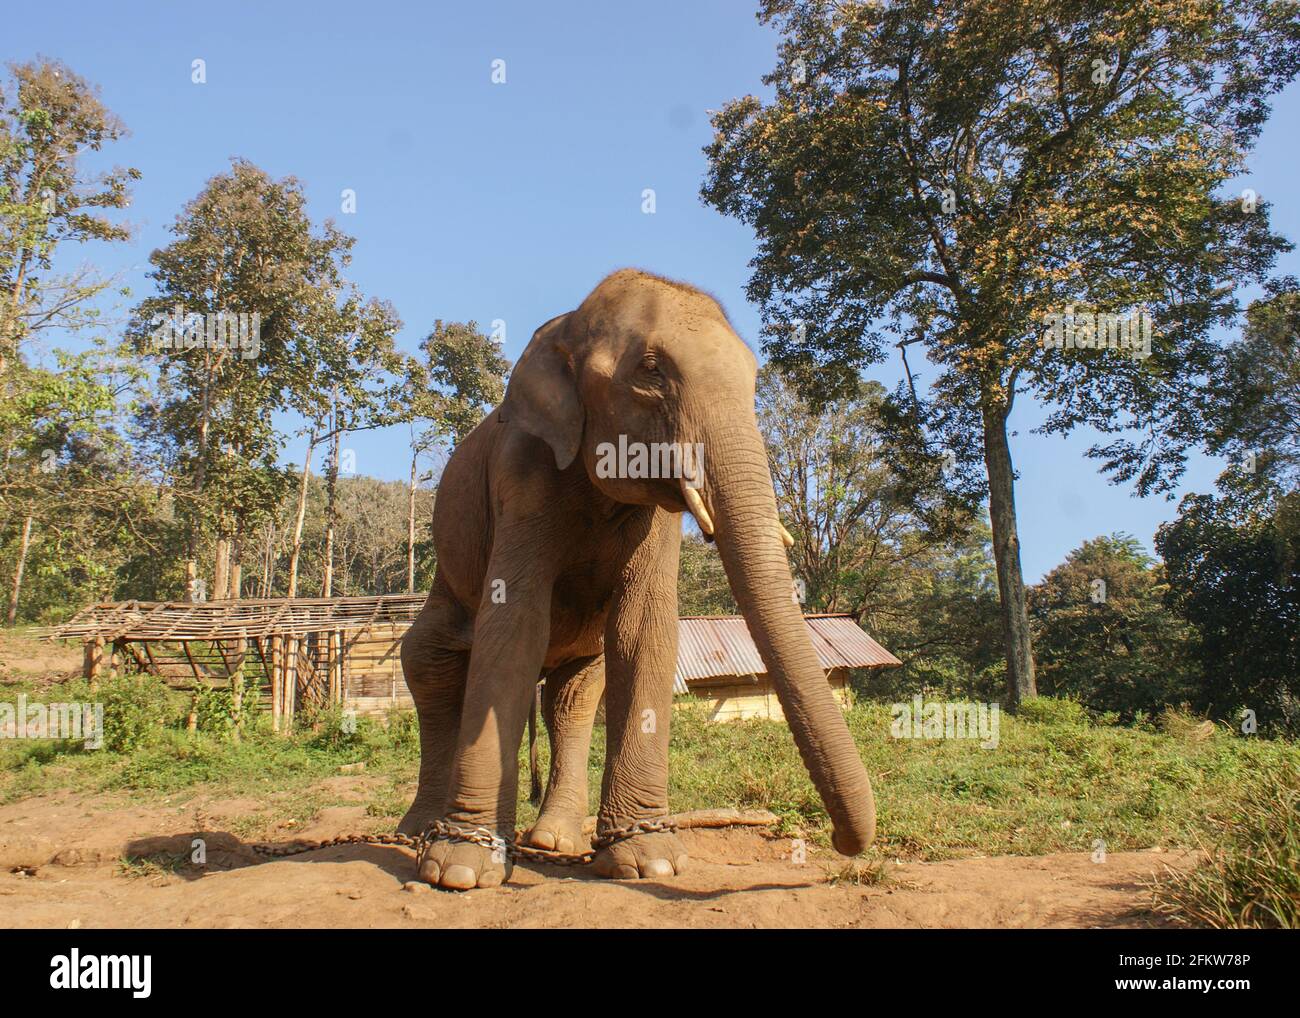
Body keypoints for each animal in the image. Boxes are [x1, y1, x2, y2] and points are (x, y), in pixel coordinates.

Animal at [398, 269, 876, 890]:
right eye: (651, 370)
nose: (842, 844)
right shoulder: (520, 474)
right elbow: (513, 623)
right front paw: (460, 870)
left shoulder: (656, 517)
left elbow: (644, 629)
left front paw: (647, 860)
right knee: (427, 666)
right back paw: (416, 834)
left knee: (573, 695)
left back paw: (554, 840)